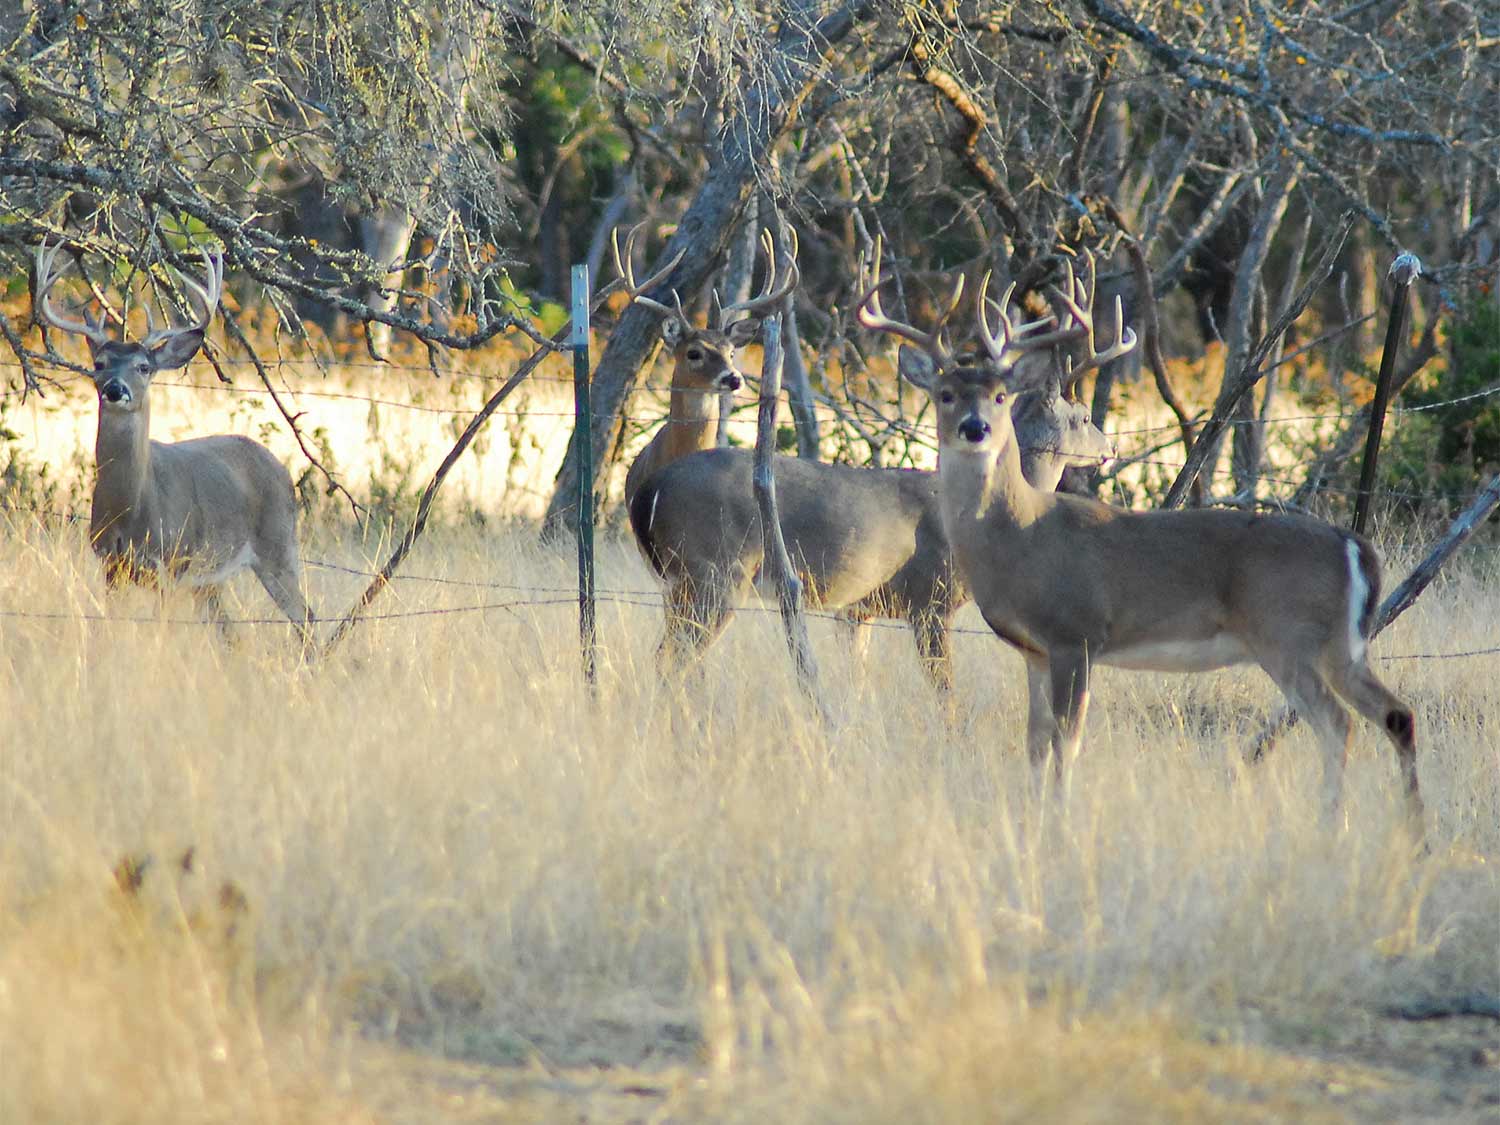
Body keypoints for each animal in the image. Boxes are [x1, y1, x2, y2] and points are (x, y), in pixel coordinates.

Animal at [33, 240, 315, 647]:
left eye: (144, 367)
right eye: (99, 363)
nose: (114, 389)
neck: (131, 509)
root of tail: (280, 466)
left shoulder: (170, 563)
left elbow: (159, 630)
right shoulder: (110, 564)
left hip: (278, 544)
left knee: (306, 618)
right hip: (211, 578)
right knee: (230, 631)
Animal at [628, 239, 1115, 692]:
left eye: (999, 396)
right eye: (1082, 417)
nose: (1108, 448)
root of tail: (650, 489)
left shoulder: (856, 610)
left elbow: (857, 684)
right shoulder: (930, 600)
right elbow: (947, 699)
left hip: (681, 581)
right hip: (714, 573)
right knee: (671, 661)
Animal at [864, 248, 1423, 832]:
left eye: (999, 395)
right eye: (945, 394)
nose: (975, 428)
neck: (1021, 536)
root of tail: (1354, 547)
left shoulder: (1077, 634)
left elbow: (1067, 743)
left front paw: (1060, 821)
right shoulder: (1035, 650)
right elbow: (1036, 743)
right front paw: (1032, 816)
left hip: (1286, 635)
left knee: (1338, 723)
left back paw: (1333, 825)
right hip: (1341, 645)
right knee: (1395, 714)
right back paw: (1410, 831)